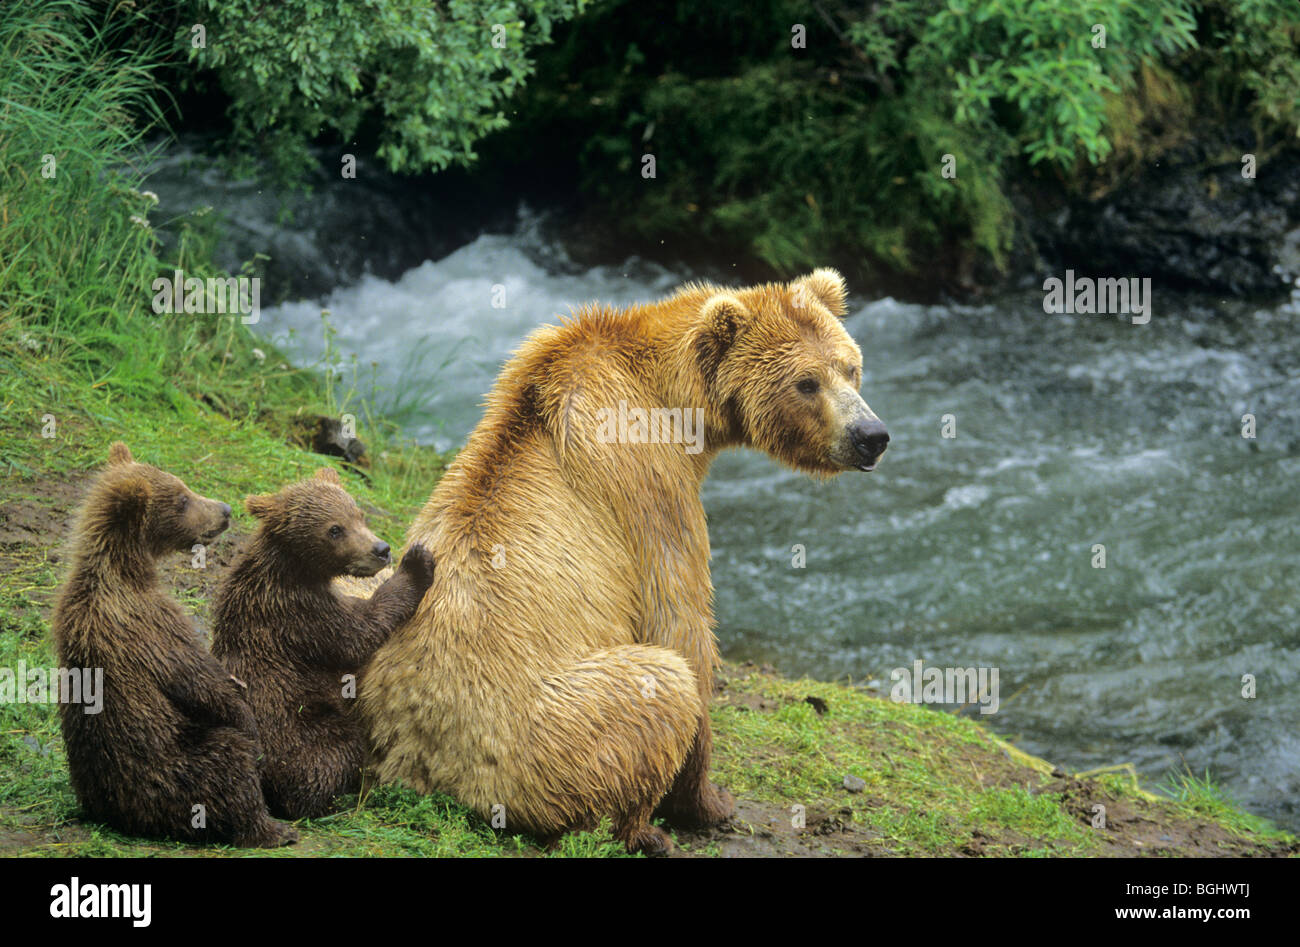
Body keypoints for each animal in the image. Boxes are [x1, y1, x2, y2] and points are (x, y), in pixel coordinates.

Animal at [51, 442, 296, 847]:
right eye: (182, 498)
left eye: (184, 485)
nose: (225, 510)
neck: (125, 569)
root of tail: (128, 818)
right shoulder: (151, 624)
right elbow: (200, 680)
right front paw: (247, 719)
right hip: (172, 768)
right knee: (229, 763)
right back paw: (273, 828)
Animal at [210, 467, 436, 820]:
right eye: (334, 529)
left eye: (359, 514)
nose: (381, 549)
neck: (298, 569)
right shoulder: (300, 615)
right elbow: (359, 631)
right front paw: (417, 563)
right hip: (301, 726)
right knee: (335, 752)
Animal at [360, 268, 889, 853]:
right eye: (806, 382)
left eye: (851, 366)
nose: (871, 435)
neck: (678, 404)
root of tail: (420, 760)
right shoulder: (649, 481)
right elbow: (680, 624)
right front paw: (711, 802)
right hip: (547, 735)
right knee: (657, 686)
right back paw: (644, 831)